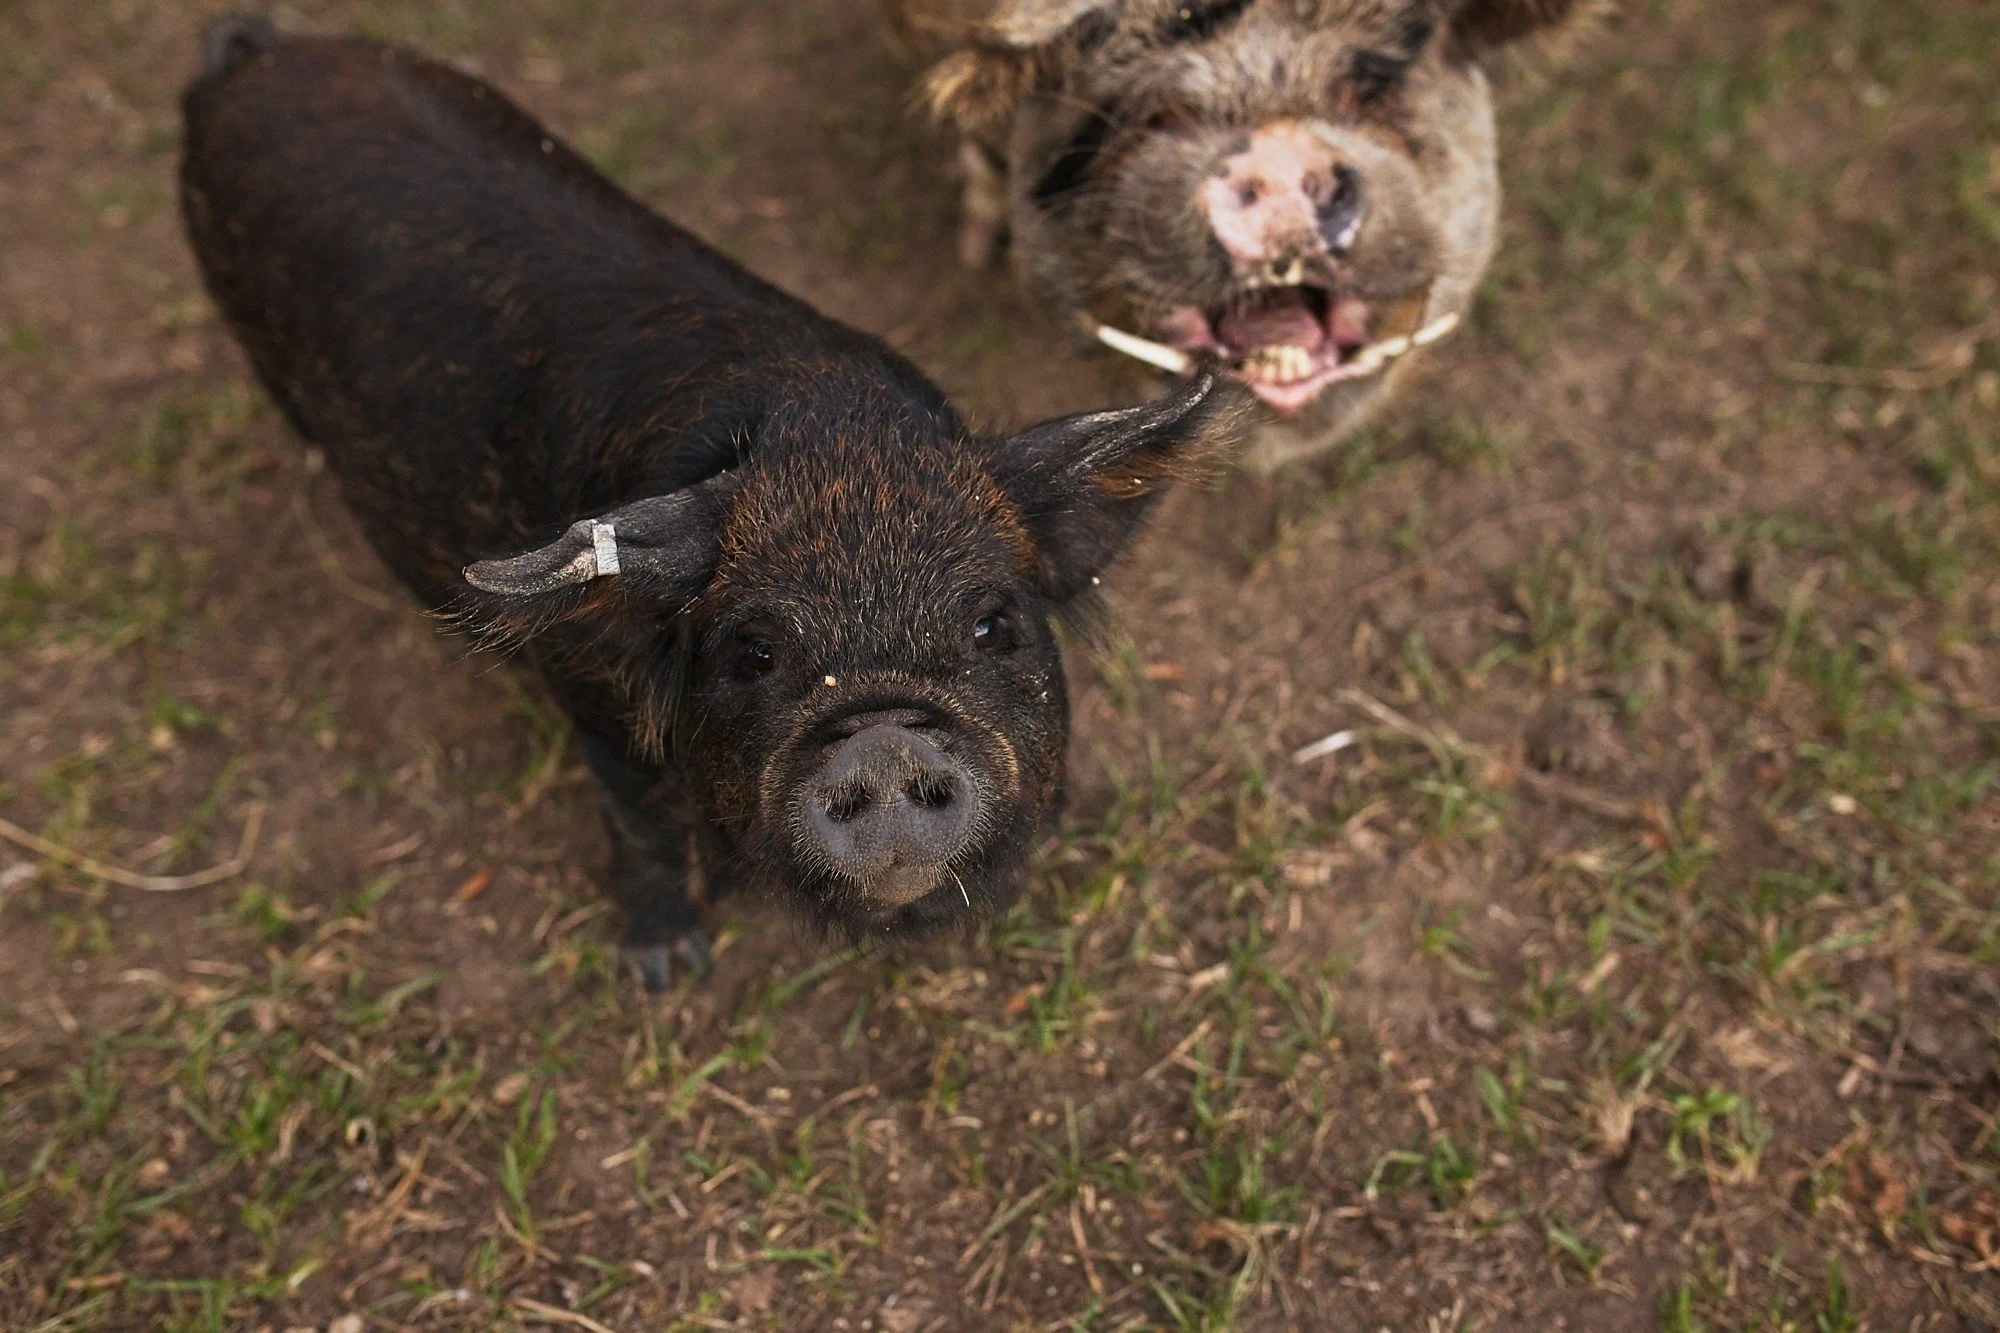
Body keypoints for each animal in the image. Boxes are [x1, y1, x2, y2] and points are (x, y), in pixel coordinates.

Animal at [178, 18, 1236, 988]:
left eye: (994, 625)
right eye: (752, 653)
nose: (885, 738)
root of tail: (255, 52)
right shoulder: (588, 684)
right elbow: (642, 821)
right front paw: (666, 969)